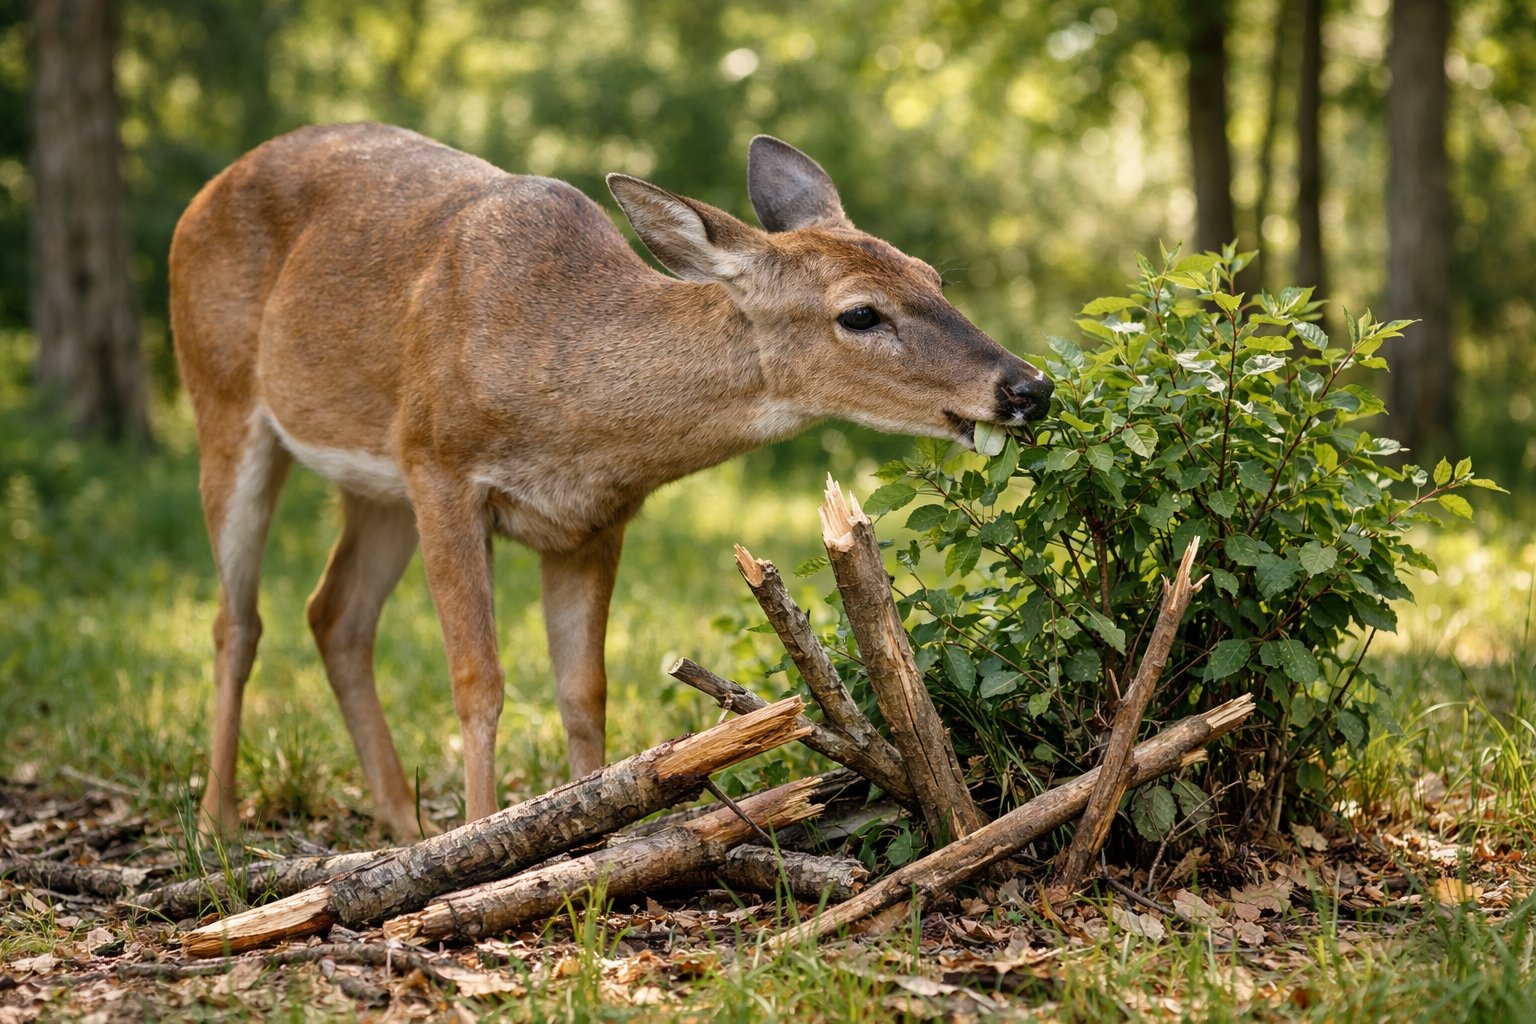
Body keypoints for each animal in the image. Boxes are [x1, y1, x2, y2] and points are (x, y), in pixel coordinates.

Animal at [169, 123, 1053, 838]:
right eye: (860, 313)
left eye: (932, 276)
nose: (1028, 387)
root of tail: (203, 194)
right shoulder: (439, 462)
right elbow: (479, 682)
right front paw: (481, 837)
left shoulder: (595, 519)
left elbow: (583, 691)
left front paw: (582, 832)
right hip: (225, 400)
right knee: (236, 619)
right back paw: (219, 823)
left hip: (375, 485)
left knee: (335, 614)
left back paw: (400, 821)